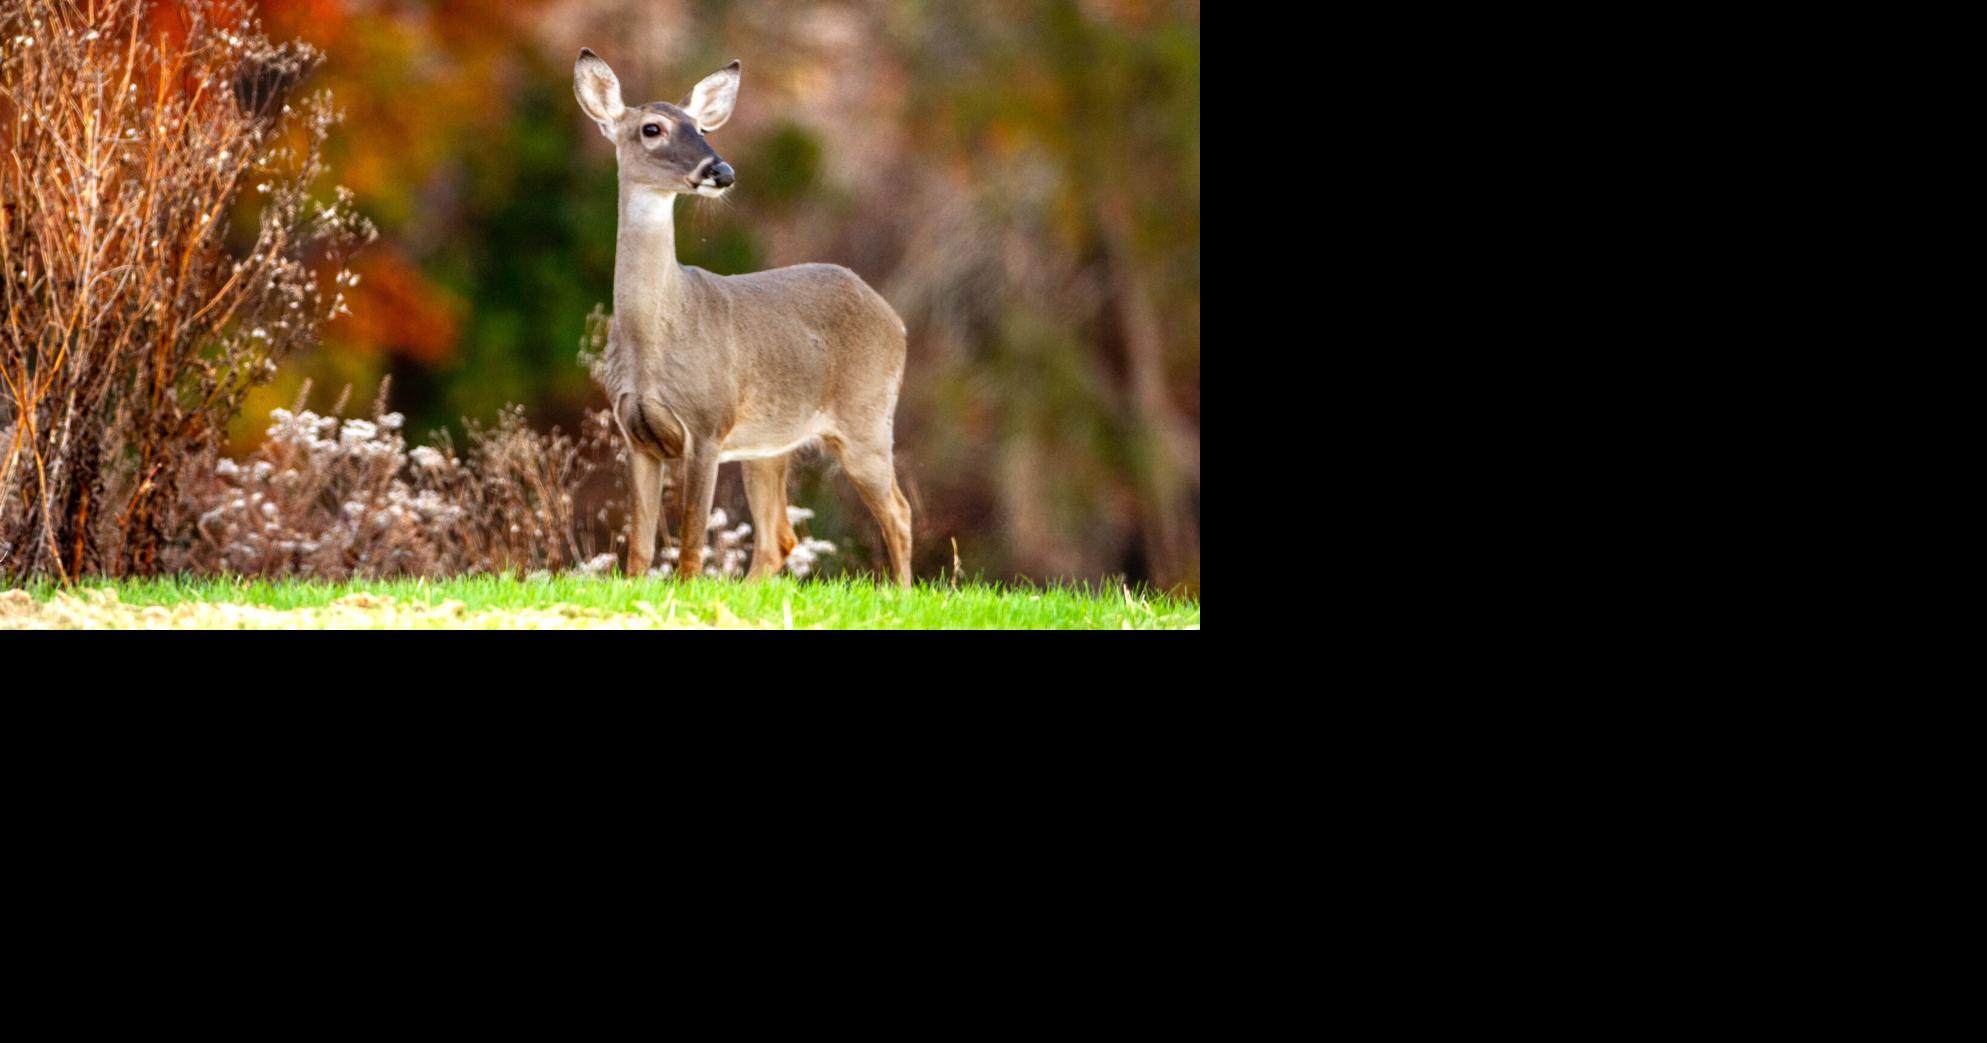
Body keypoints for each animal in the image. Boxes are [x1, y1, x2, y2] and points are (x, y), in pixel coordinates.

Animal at [573, 49, 913, 586]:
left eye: (701, 127)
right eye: (652, 128)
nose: (721, 171)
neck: (654, 337)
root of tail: (894, 319)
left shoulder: (707, 426)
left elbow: (690, 539)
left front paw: (686, 590)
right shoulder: (636, 436)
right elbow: (640, 549)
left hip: (868, 417)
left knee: (898, 513)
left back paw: (899, 593)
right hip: (770, 444)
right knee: (779, 536)